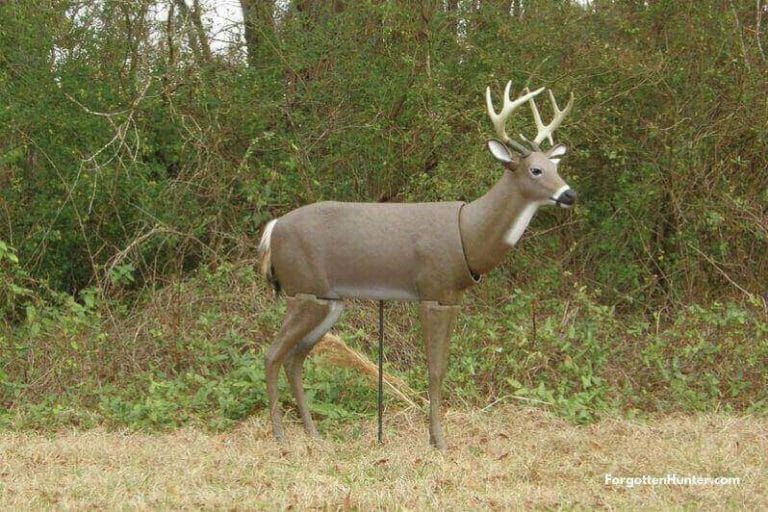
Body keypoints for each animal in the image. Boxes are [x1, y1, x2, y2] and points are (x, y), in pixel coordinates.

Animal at [258, 80, 576, 449]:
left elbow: (443, 366)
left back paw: (313, 433)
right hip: (303, 290)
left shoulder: (452, 298)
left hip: (328, 300)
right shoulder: (431, 291)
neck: (469, 234)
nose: (570, 195)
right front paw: (438, 441)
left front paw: (436, 436)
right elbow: (434, 369)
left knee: (295, 358)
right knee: (273, 354)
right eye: (535, 170)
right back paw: (280, 435)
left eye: (557, 168)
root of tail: (273, 228)